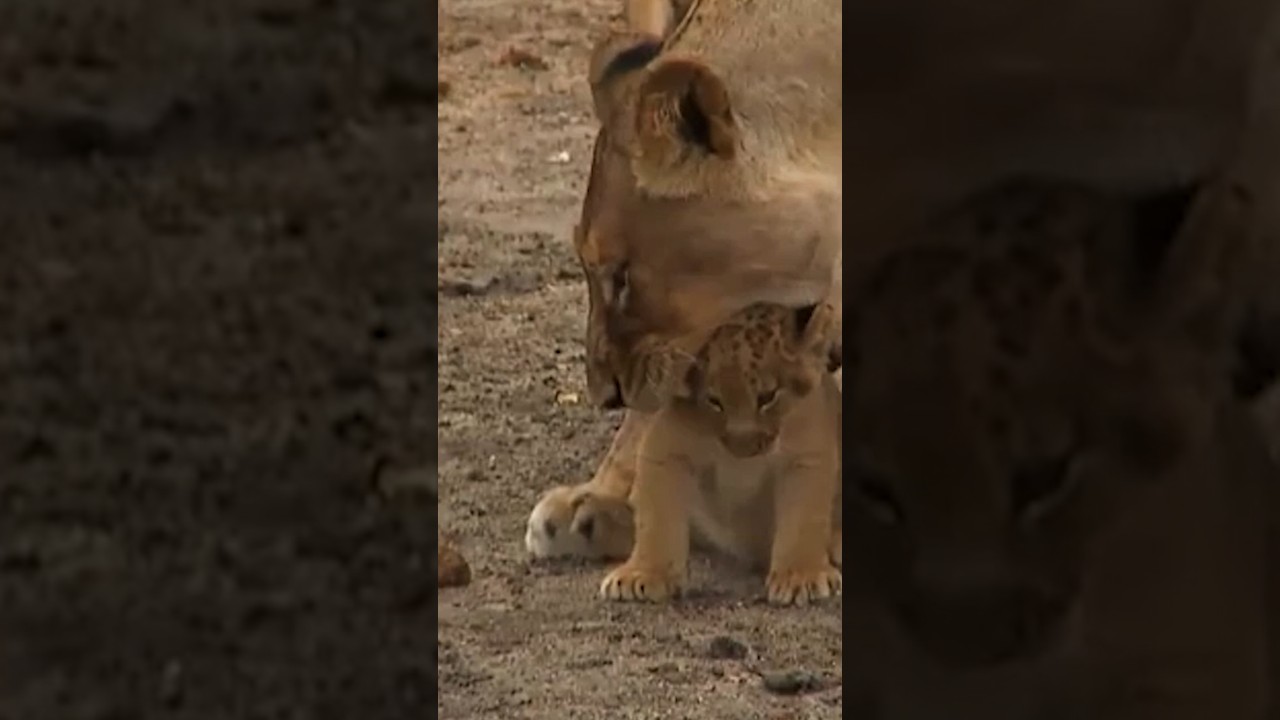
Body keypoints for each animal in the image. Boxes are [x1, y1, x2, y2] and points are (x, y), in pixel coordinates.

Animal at [586, 300, 842, 607]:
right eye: (714, 400)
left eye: (767, 397)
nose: (743, 446)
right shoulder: (666, 448)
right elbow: (655, 518)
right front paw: (642, 575)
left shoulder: (805, 455)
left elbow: (803, 519)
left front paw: (800, 577)